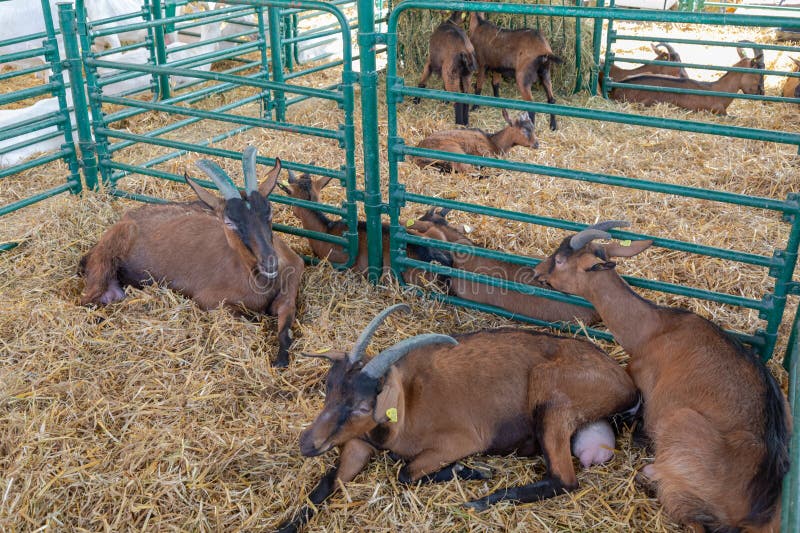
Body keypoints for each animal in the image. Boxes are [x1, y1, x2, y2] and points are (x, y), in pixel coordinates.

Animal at [79, 147, 304, 367]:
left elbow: (286, 327)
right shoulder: (210, 301)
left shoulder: (292, 283)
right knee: (88, 300)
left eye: (269, 210)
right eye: (228, 222)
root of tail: (126, 218)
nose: (270, 262)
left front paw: (280, 360)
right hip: (106, 258)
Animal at [275, 304, 637, 532]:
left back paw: (479, 500)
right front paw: (285, 525)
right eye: (329, 387)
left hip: (551, 398)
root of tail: (625, 383)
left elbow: (406, 473)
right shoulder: (358, 442)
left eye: (363, 407)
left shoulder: (460, 441)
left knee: (564, 480)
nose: (307, 443)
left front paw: (468, 470)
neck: (408, 401)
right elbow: (327, 484)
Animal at [532, 221, 791, 532]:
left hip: (680, 423)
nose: (536, 271)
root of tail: (755, 513)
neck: (654, 329)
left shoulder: (639, 378)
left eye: (559, 261)